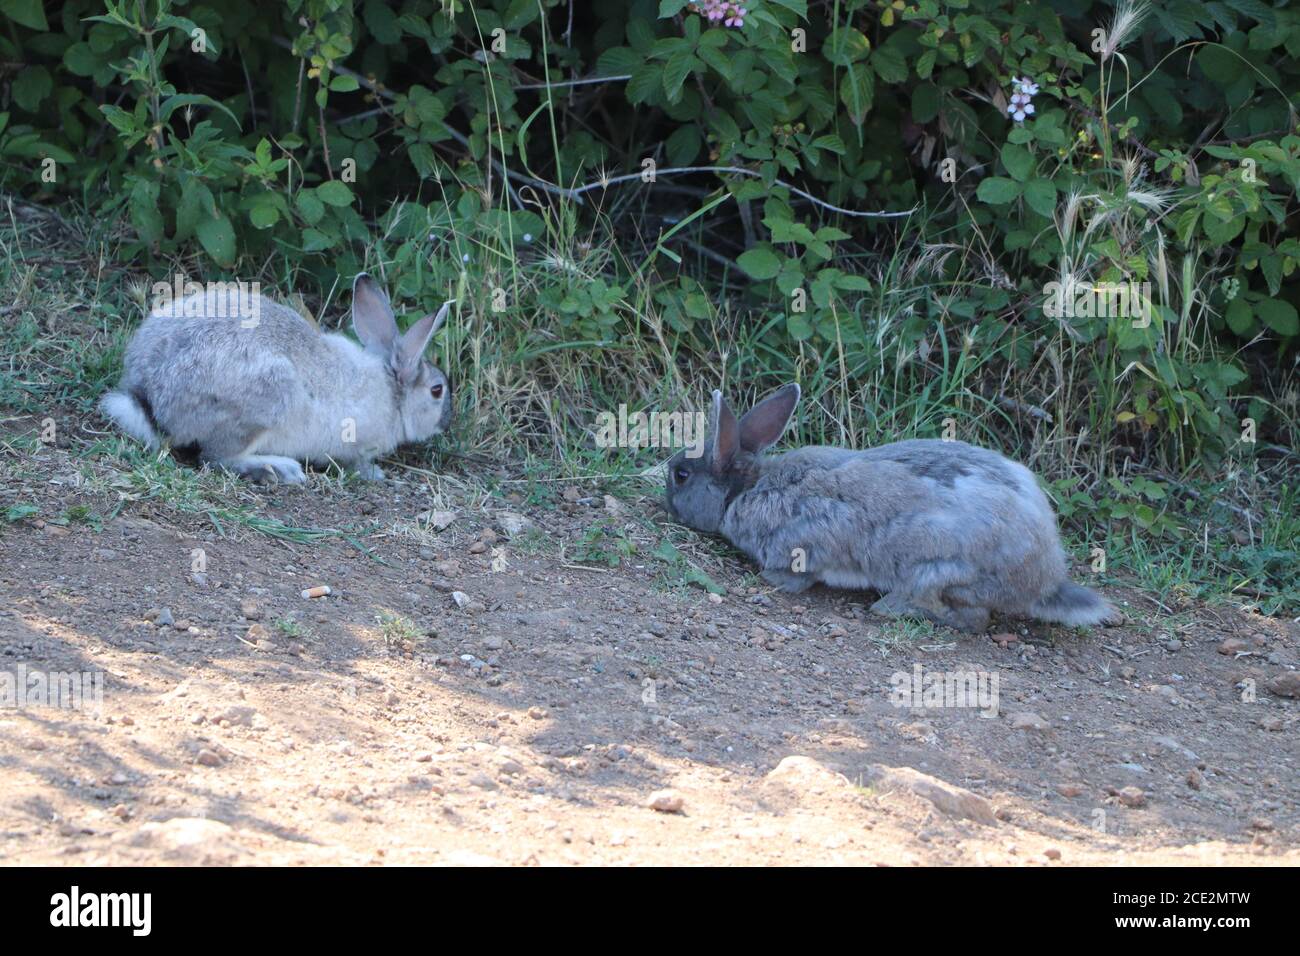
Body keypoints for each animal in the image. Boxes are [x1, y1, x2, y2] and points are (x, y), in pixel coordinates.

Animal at [99, 274, 453, 483]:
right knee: (216, 458)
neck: (393, 392)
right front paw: (374, 473)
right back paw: (281, 469)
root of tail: (148, 392)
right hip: (268, 400)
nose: (445, 423)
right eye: (437, 391)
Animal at [664, 383, 1119, 632]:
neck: (746, 488)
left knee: (971, 618)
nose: (664, 497)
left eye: (681, 474)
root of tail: (1045, 578)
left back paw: (890, 608)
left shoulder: (797, 550)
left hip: (936, 570)